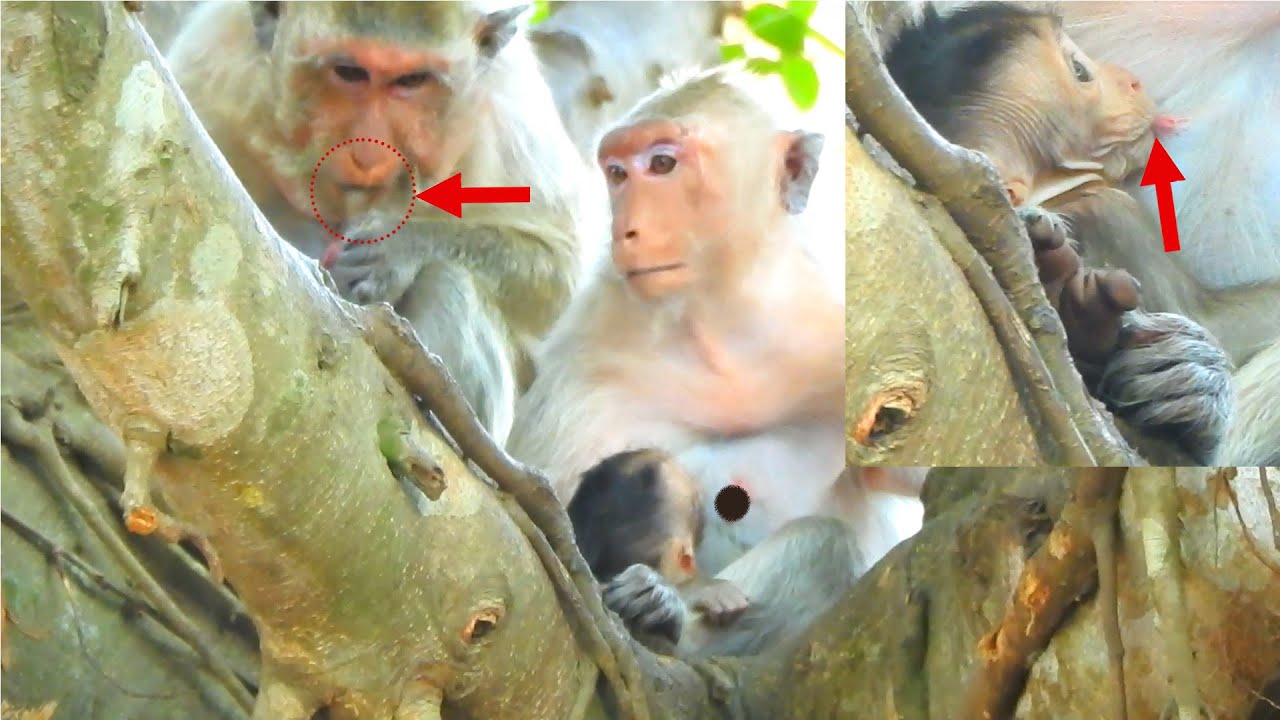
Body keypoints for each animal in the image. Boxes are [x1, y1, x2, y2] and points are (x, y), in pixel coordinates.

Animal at [166, 2, 596, 447]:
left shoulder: (509, 109)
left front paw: (398, 248)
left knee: (447, 280)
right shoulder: (213, 65)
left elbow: (562, 275)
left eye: (413, 80)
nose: (368, 156)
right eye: (349, 72)